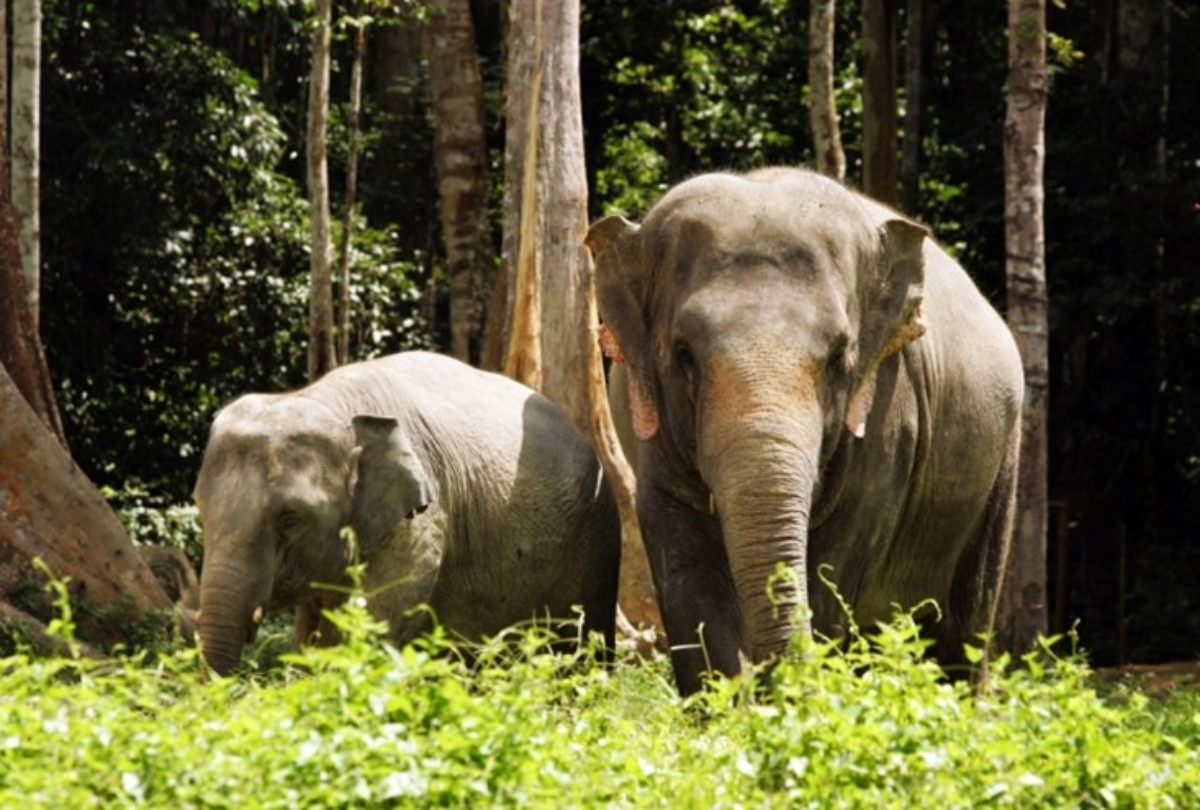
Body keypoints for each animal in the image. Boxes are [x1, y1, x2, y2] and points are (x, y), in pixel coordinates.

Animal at [587, 167, 1023, 695]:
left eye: (840, 356)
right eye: (683, 354)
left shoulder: (888, 407)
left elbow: (835, 564)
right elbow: (686, 565)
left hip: (1001, 462)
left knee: (962, 629)